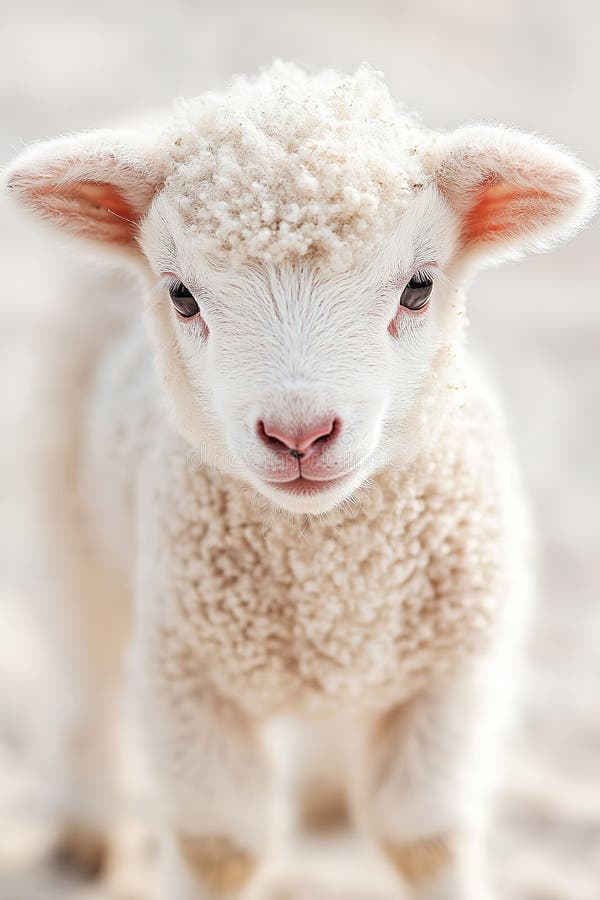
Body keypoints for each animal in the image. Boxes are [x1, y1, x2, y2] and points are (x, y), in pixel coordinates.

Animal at [3, 61, 597, 900]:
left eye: (419, 286)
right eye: (181, 294)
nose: (299, 434)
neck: (329, 577)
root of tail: (155, 114)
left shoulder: (454, 673)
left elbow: (424, 836)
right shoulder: (188, 675)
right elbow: (219, 849)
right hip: (67, 514)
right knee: (84, 674)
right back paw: (87, 832)